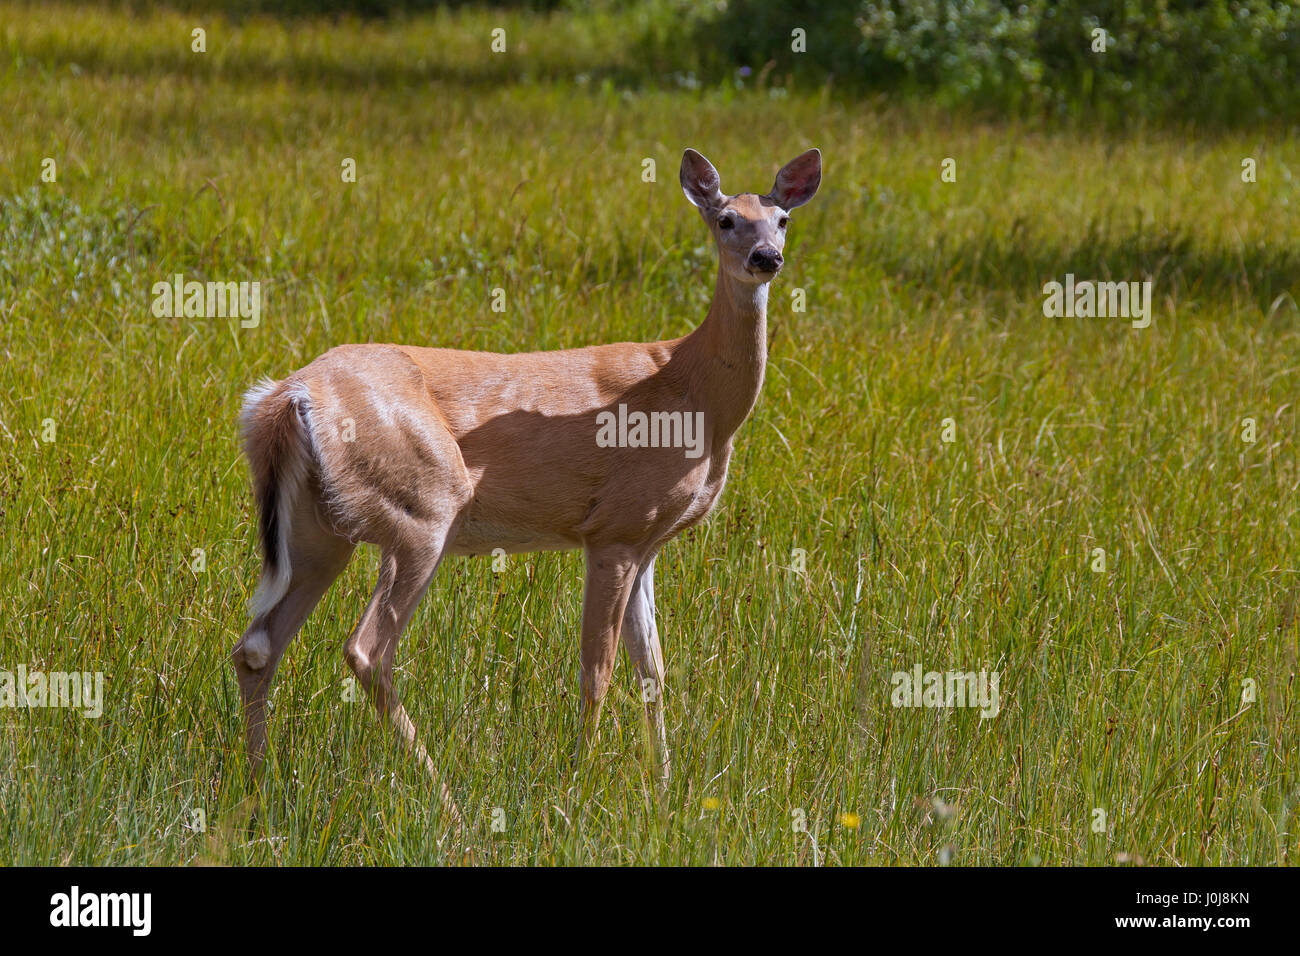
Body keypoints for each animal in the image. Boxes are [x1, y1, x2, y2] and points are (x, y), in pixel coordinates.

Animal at [232, 147, 822, 823]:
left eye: (782, 219)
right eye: (726, 219)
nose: (766, 258)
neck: (695, 394)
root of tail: (283, 399)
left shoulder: (649, 542)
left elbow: (654, 671)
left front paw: (666, 791)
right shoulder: (614, 528)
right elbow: (599, 667)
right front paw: (579, 785)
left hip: (320, 531)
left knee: (257, 647)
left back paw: (257, 791)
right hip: (424, 506)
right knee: (367, 649)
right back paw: (448, 803)